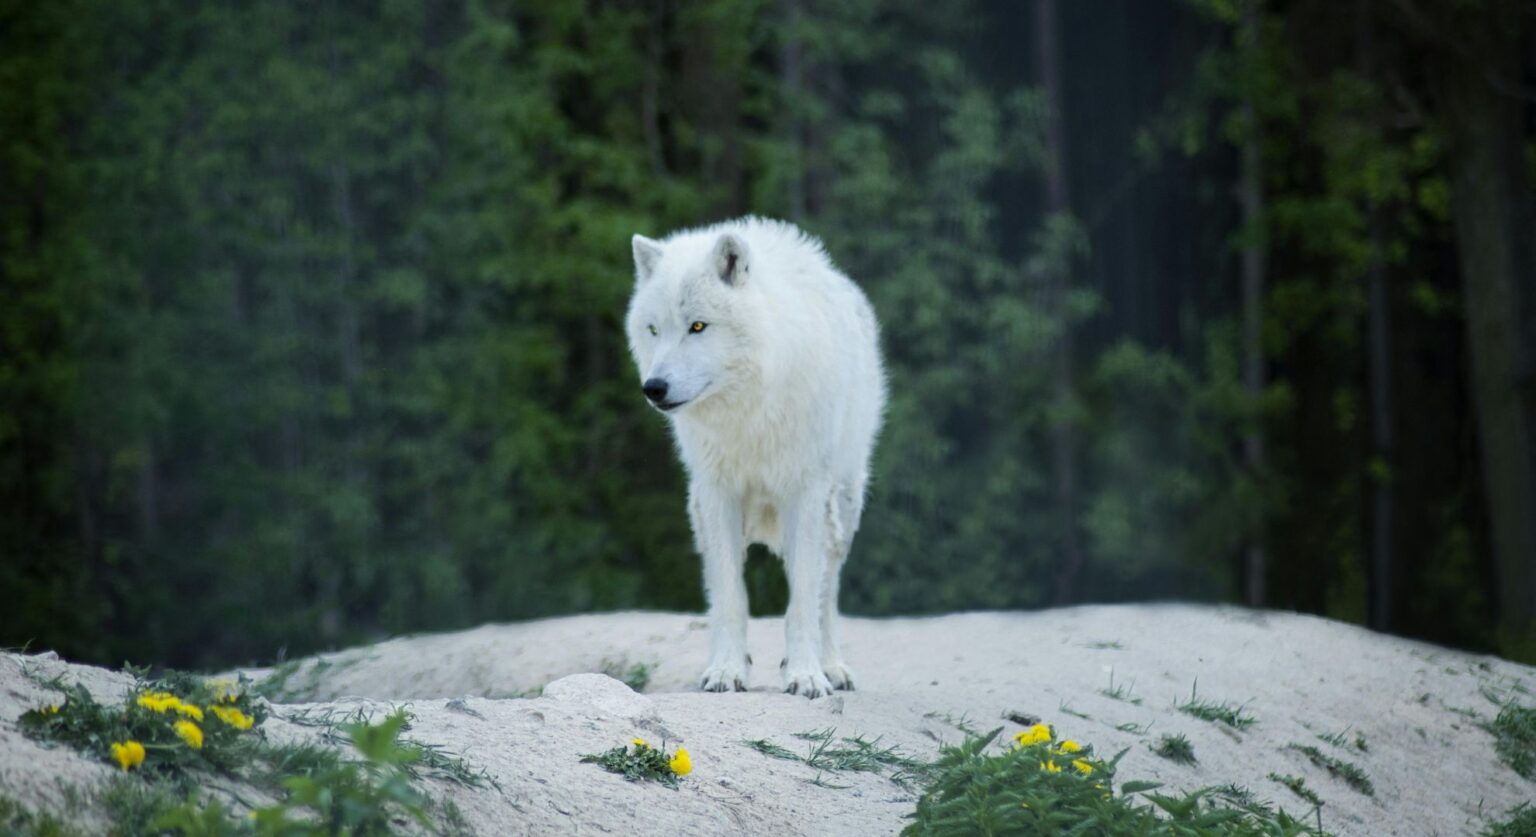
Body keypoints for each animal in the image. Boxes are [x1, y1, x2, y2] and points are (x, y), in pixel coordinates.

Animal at [625, 217, 886, 698]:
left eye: (697, 326)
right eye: (653, 330)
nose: (653, 388)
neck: (747, 409)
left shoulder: (805, 492)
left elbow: (803, 599)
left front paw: (805, 675)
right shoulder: (718, 493)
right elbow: (730, 596)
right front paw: (727, 671)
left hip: (841, 507)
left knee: (827, 592)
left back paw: (832, 667)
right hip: (701, 513)